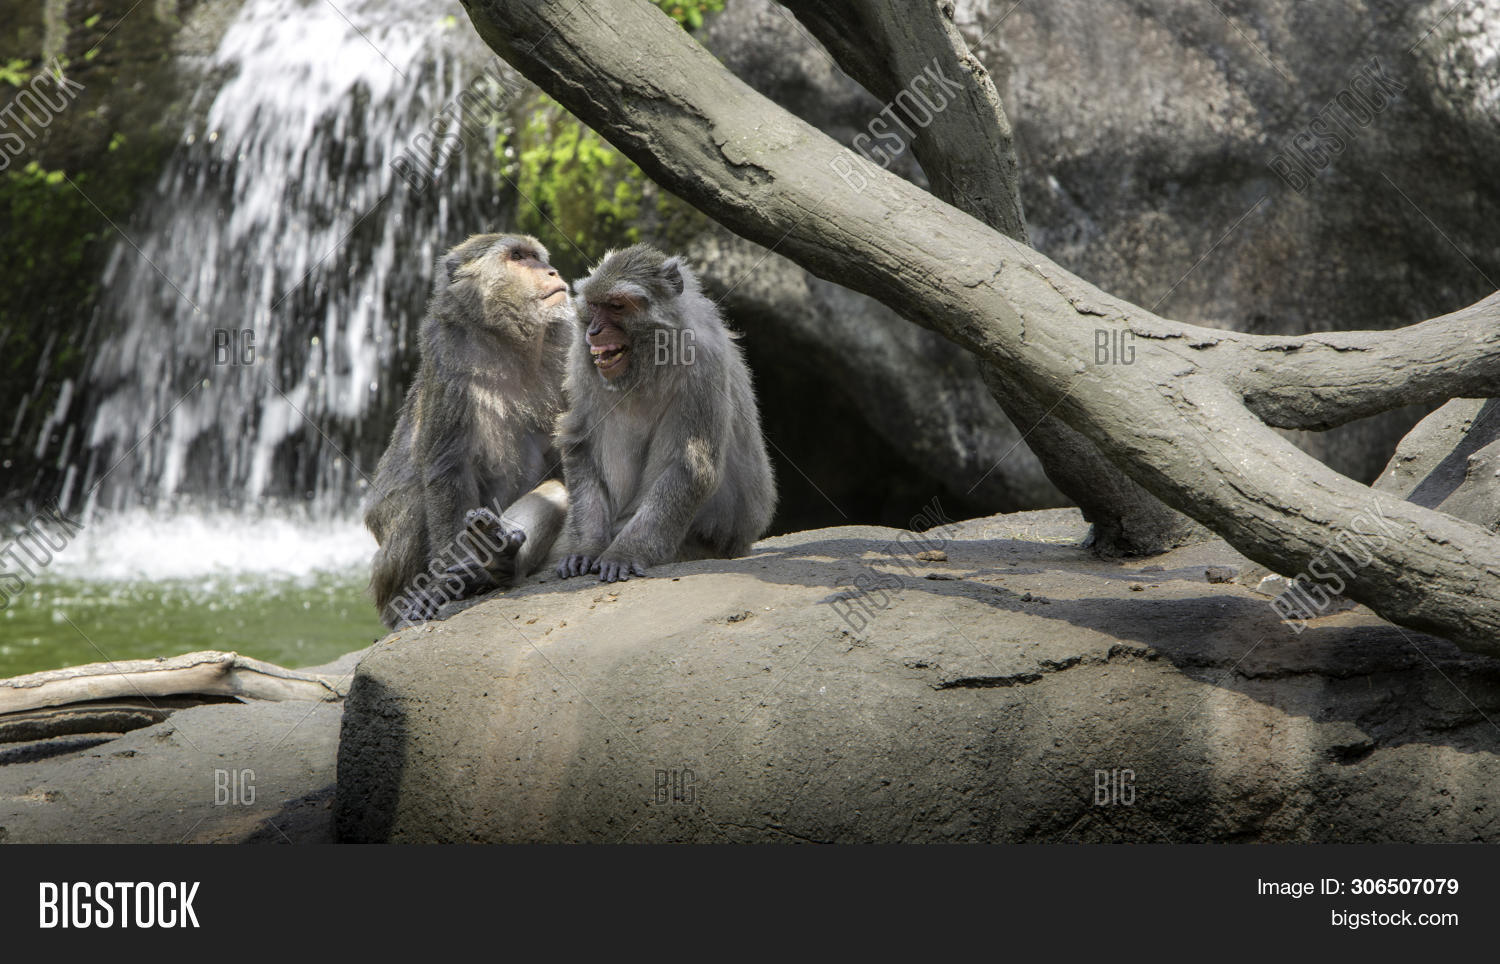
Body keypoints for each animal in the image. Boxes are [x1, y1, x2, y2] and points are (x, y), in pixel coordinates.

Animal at [364, 233, 573, 627]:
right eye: (517, 257)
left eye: (537, 256)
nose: (552, 271)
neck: (507, 338)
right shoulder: (448, 358)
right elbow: (448, 471)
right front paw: (442, 584)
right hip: (387, 580)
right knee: (417, 503)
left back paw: (500, 561)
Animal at [554, 245, 776, 583]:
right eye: (593, 305)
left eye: (616, 306)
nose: (594, 330)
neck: (650, 362)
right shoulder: (581, 358)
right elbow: (581, 442)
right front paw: (586, 547)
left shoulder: (702, 361)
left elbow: (689, 466)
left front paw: (624, 552)